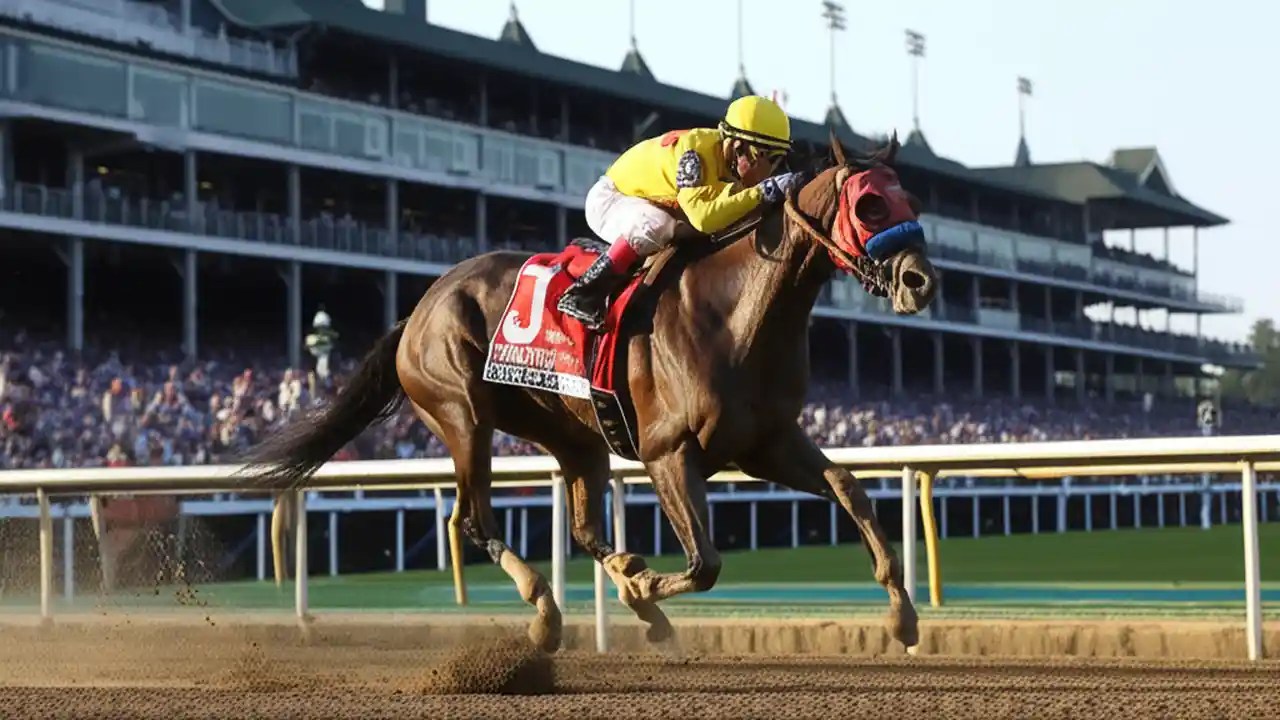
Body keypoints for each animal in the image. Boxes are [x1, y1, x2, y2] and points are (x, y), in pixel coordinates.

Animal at [242, 132, 939, 653]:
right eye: (869, 206)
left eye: (911, 199)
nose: (920, 281)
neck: (735, 311)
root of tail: (417, 308)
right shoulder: (668, 452)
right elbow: (705, 562)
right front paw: (644, 586)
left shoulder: (764, 443)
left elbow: (848, 487)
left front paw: (902, 615)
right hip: (461, 414)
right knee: (471, 517)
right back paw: (549, 612)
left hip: (574, 435)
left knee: (579, 527)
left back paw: (626, 591)